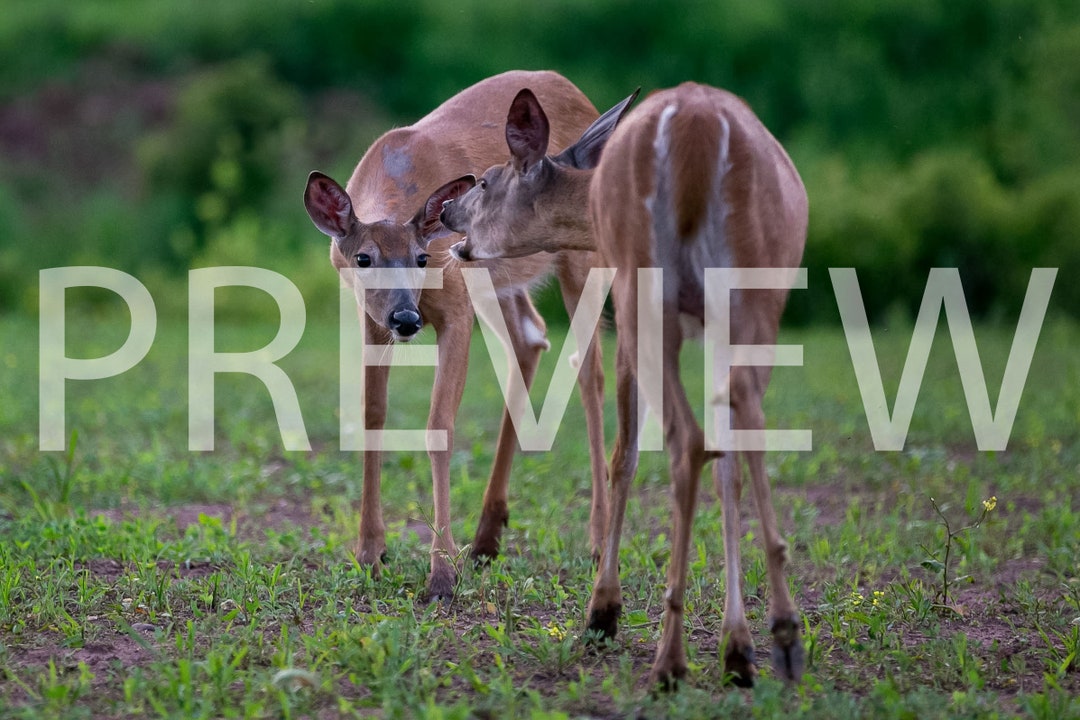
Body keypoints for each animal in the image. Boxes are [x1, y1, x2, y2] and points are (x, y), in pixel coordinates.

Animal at [302, 70, 609, 602]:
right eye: (363, 258)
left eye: (422, 258)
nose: (407, 319)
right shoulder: (370, 318)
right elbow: (372, 415)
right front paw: (370, 553)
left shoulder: (455, 309)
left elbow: (440, 424)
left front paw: (442, 573)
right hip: (497, 280)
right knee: (532, 336)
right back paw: (487, 537)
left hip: (575, 256)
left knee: (589, 368)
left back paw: (596, 541)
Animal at [440, 82, 807, 688]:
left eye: (488, 181)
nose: (446, 209)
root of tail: (699, 131)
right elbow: (725, 463)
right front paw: (738, 643)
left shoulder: (627, 302)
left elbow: (625, 454)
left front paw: (605, 609)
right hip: (756, 298)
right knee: (740, 432)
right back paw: (776, 638)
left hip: (647, 291)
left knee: (685, 441)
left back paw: (668, 659)